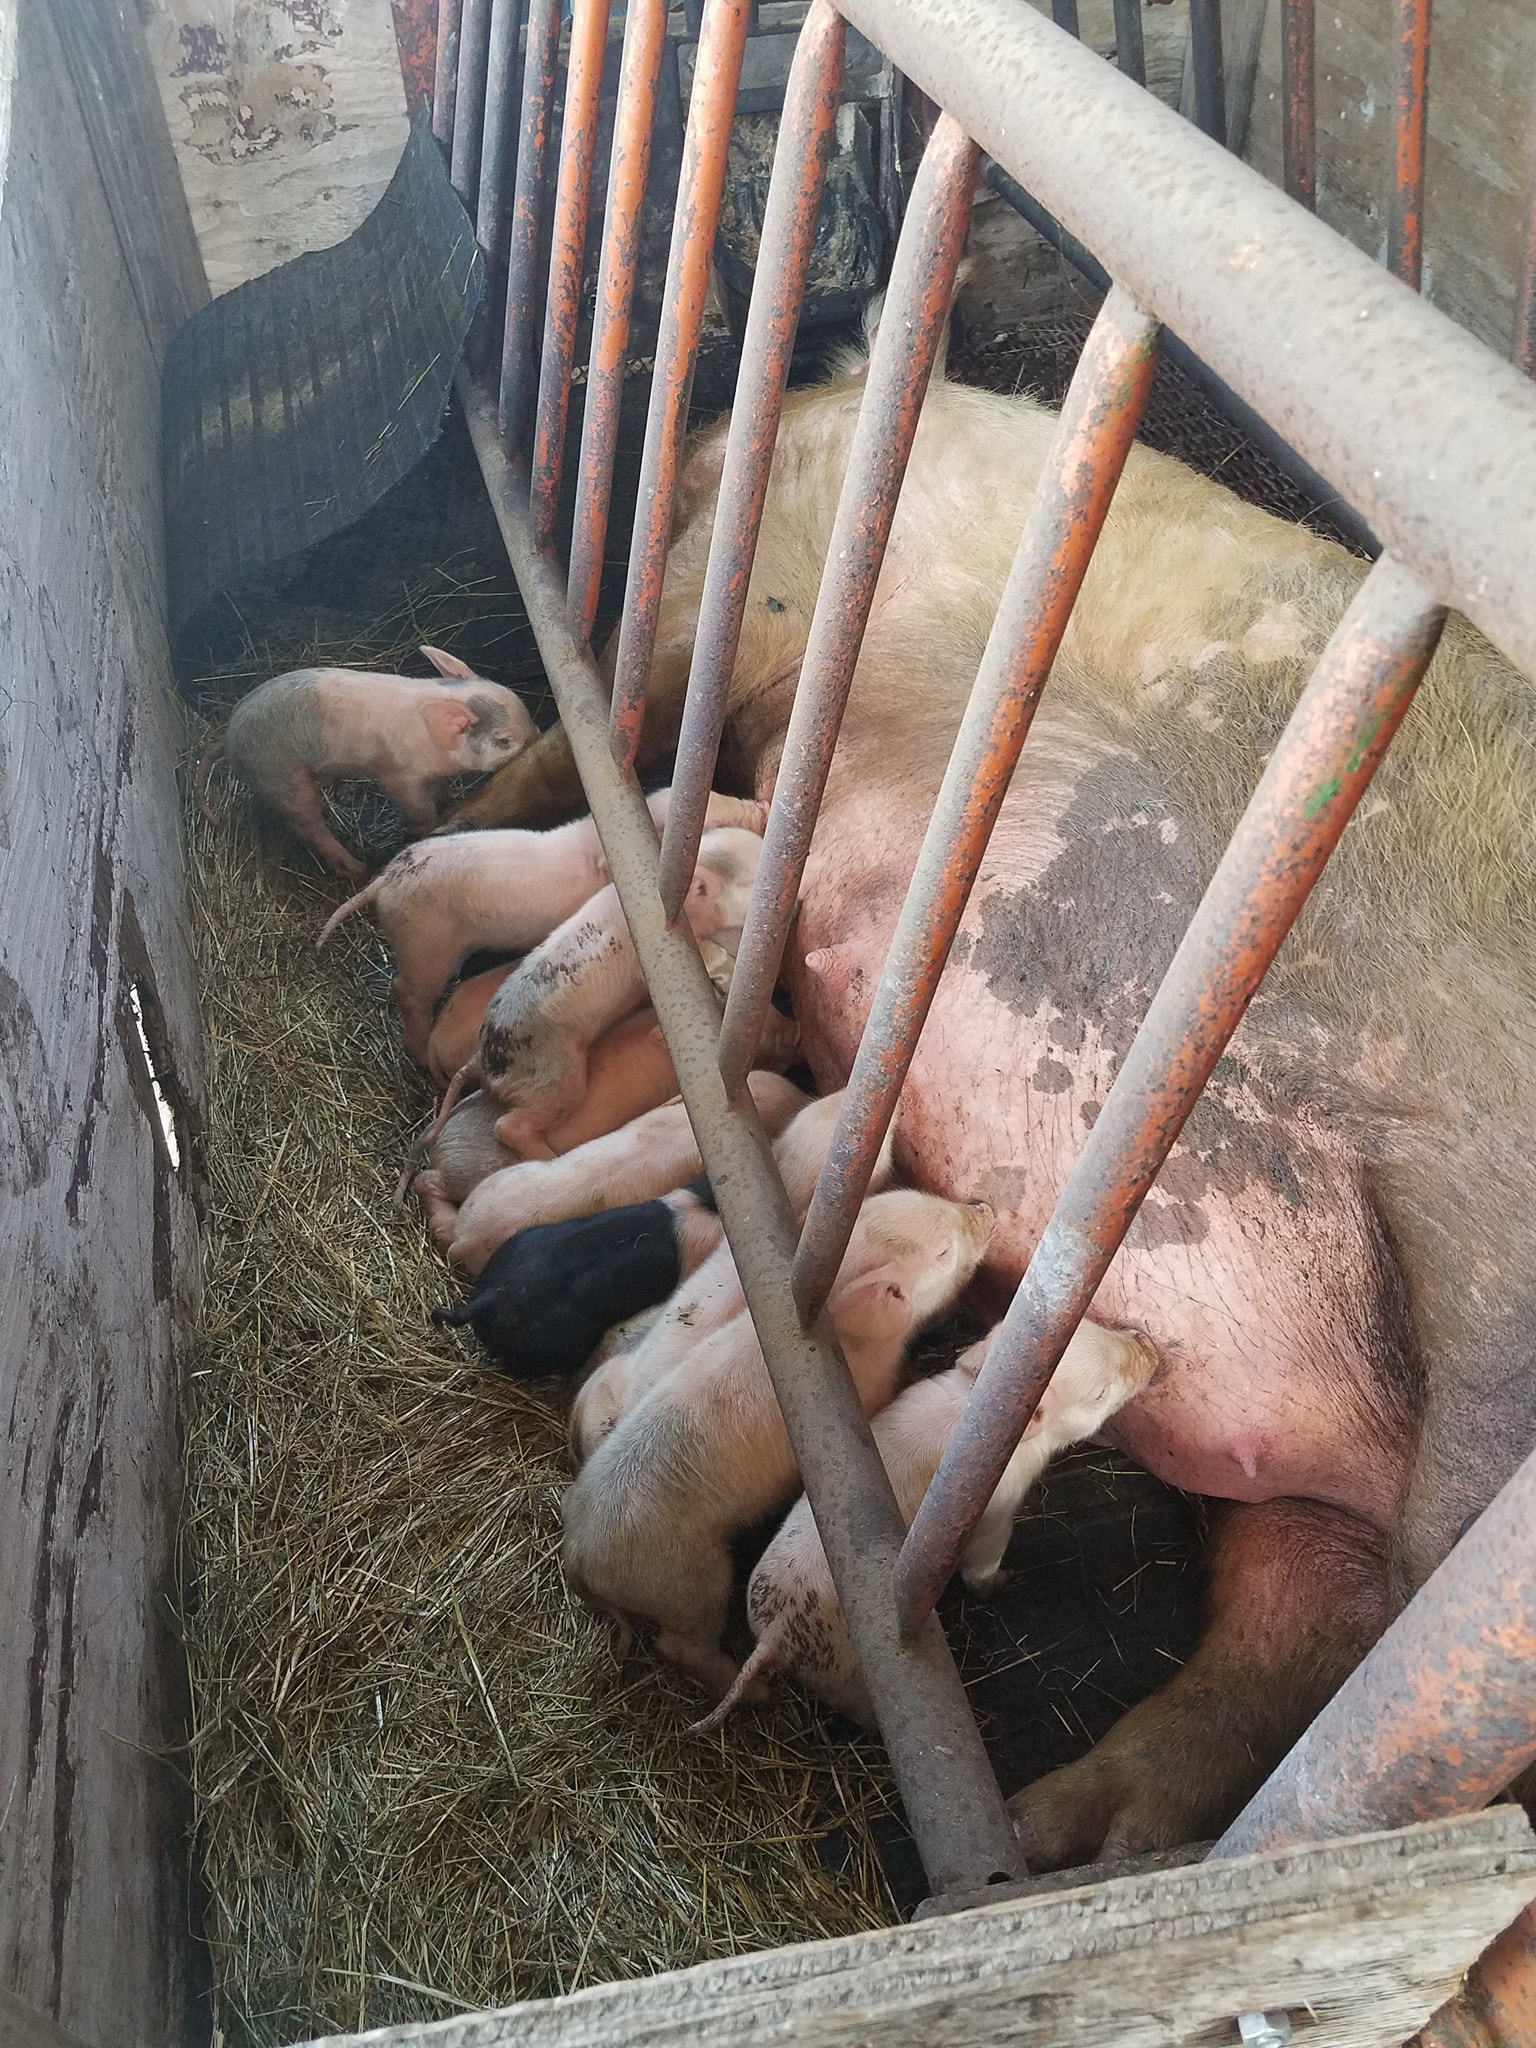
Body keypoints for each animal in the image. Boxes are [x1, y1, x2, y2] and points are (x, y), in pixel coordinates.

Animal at [198, 648, 536, 878]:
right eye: (504, 740)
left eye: (525, 709)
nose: (537, 736)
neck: (435, 744)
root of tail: (229, 737)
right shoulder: (397, 775)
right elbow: (419, 809)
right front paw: (427, 826)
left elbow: (441, 793)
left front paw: (450, 802)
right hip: (280, 774)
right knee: (307, 823)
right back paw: (359, 868)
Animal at [317, 786, 765, 1059]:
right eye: (705, 829)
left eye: (715, 794)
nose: (760, 810)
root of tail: (382, 882)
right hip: (425, 943)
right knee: (406, 991)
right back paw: (419, 1049)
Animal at [561, 1190, 994, 1698]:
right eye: (943, 1251)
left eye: (911, 1195)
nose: (985, 1209)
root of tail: (578, 1553)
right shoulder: (871, 1395)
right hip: (690, 1583)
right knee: (681, 1644)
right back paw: (759, 1695)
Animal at [693, 1318, 1161, 1731]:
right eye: (1100, 1393)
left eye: (1097, 1326)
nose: (1152, 1348)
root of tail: (774, 1633)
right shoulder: (998, 1509)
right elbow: (984, 1559)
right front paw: (1008, 1579)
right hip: (847, 1676)